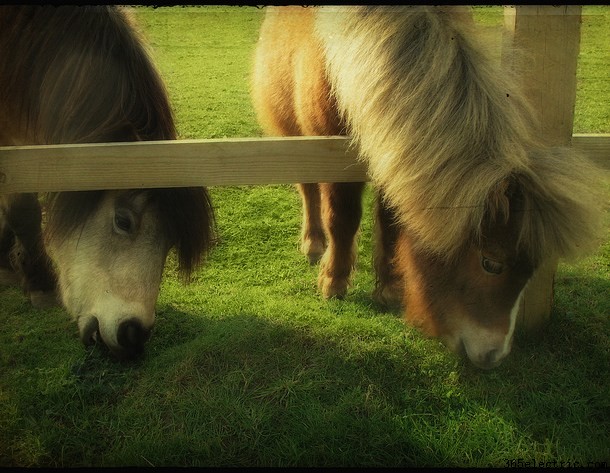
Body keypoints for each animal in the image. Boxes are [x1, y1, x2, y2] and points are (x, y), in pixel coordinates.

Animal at [249, 6, 600, 368]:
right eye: (491, 263)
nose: (493, 356)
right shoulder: (332, 157)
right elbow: (343, 219)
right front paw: (334, 282)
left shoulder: (392, 158)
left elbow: (391, 221)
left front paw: (389, 286)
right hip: (293, 136)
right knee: (308, 191)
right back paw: (314, 244)